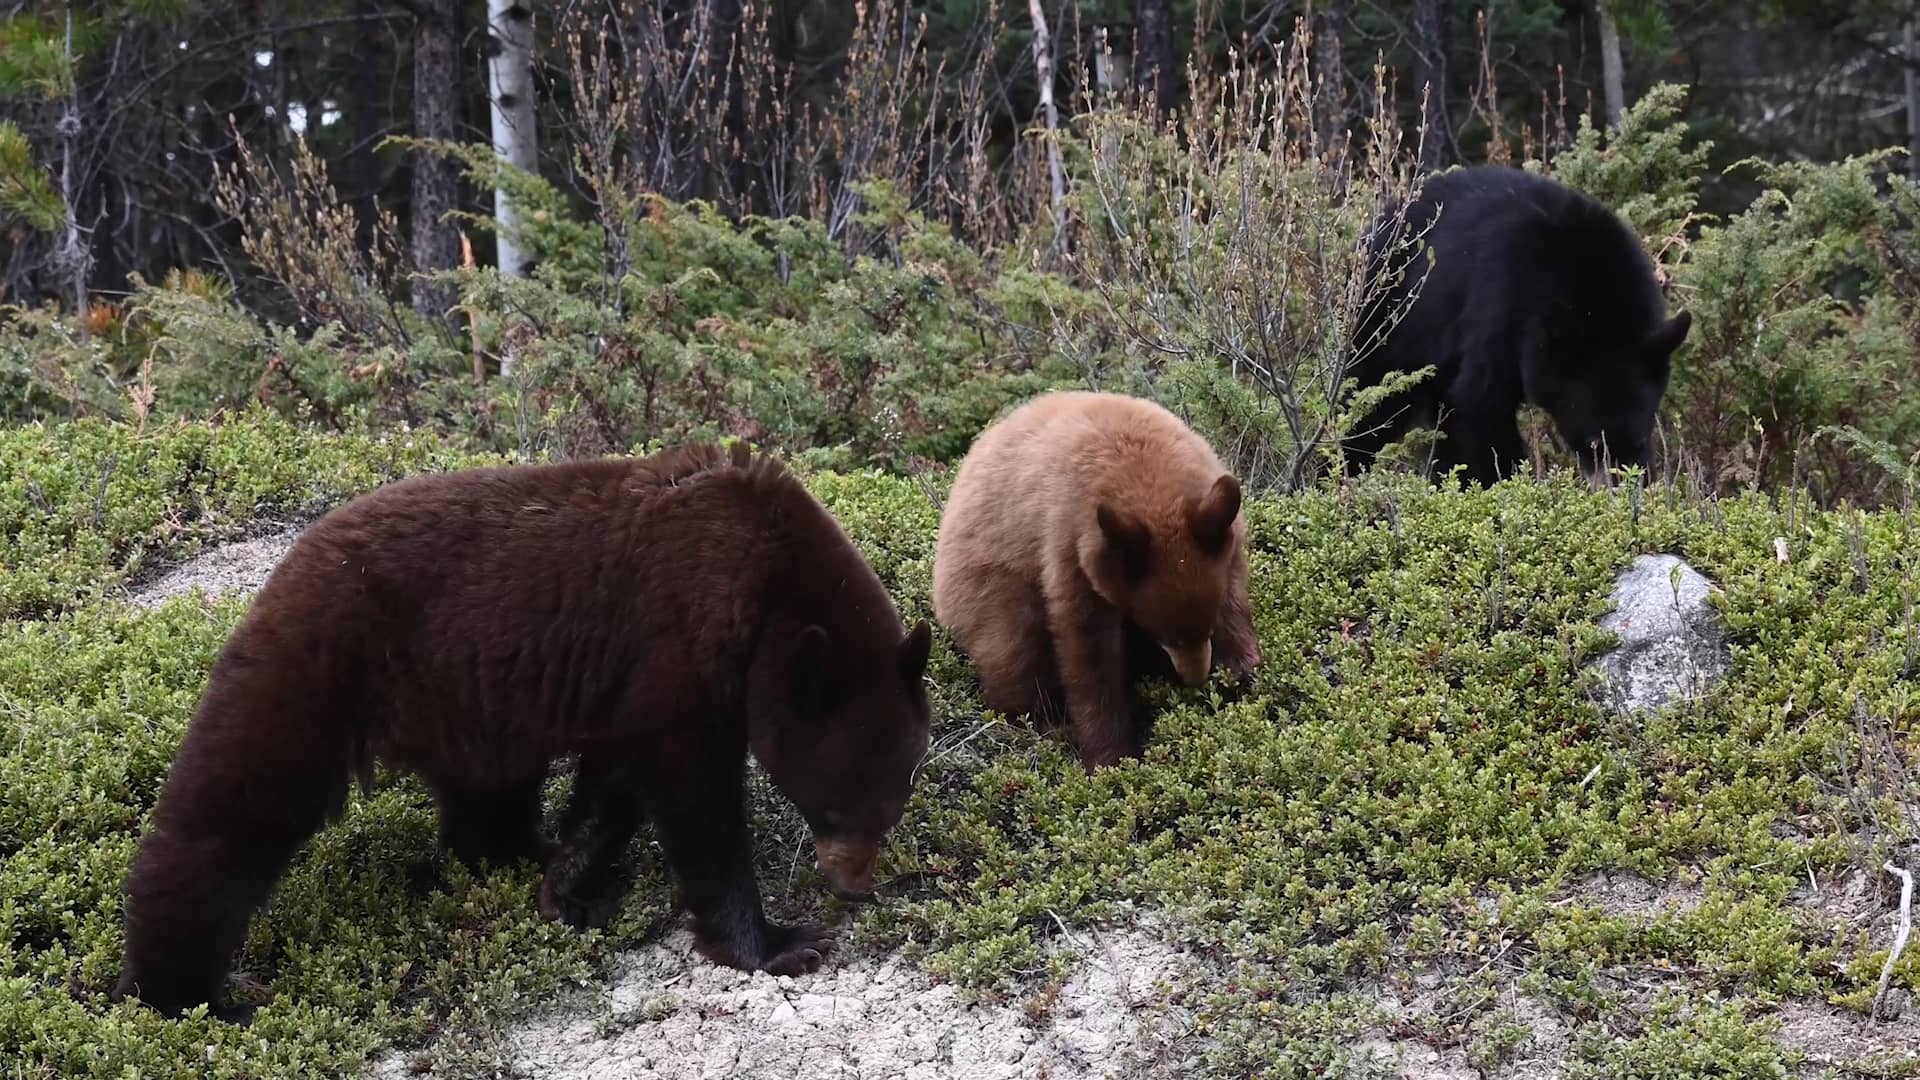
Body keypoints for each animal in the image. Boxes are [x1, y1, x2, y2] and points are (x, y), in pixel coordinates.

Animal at [111, 443, 933, 1023]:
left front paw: (569, 888)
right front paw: (780, 942)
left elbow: (614, 783)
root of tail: (284, 565)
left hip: (465, 703)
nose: (853, 885)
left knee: (488, 797)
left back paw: (511, 854)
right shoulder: (678, 637)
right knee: (235, 808)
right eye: (834, 806)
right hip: (321, 660)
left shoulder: (633, 681)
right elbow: (692, 796)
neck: (766, 579)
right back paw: (185, 991)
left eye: (895, 803)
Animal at [931, 391, 1260, 770]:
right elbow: (1088, 654)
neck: (1142, 471)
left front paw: (1242, 669)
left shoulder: (1223, 533)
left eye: (1205, 627)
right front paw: (1112, 755)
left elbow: (1233, 598)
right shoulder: (1069, 547)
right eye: (1166, 636)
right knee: (1013, 647)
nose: (1194, 677)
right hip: (985, 584)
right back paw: (1042, 722)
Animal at [1341, 165, 1693, 487]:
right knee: (1369, 402)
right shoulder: (1501, 304)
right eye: (1593, 442)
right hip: (1386, 320)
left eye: (1638, 438)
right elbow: (1481, 404)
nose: (1616, 489)